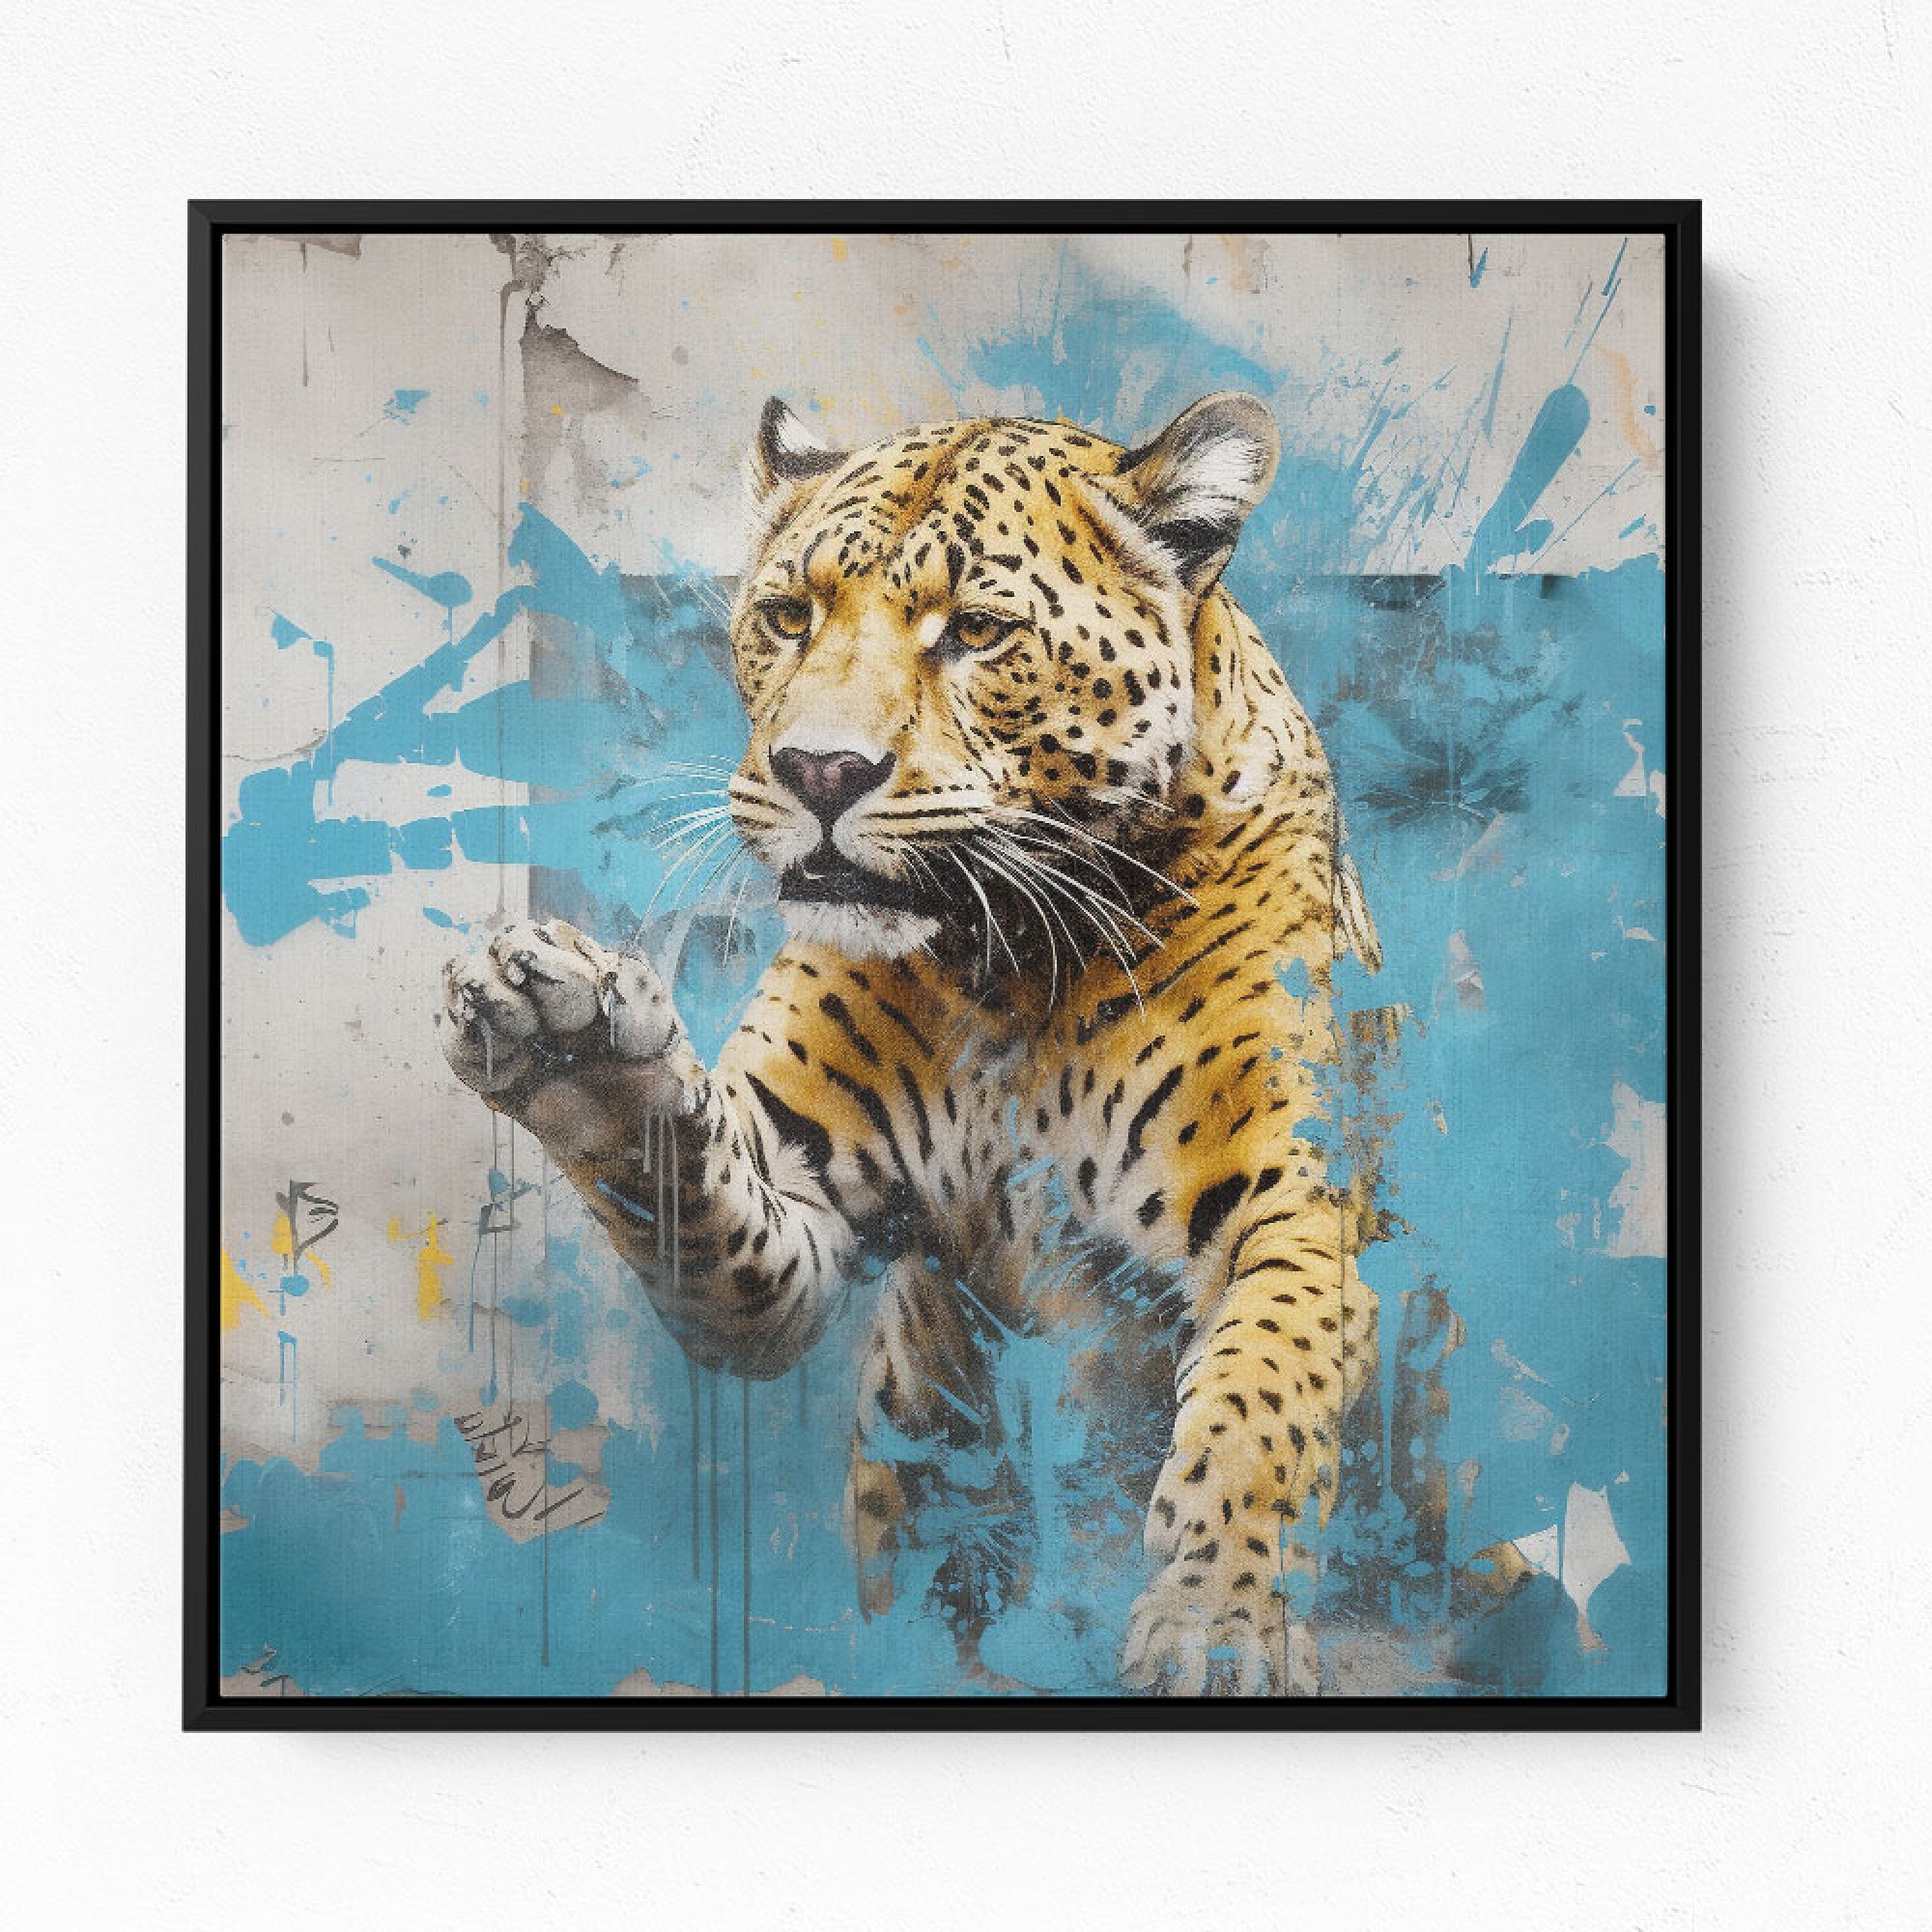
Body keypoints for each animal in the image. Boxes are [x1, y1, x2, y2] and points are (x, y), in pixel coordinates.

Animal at [437, 391, 1386, 1695]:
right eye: (790, 614)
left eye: (976, 632)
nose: (819, 769)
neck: (1011, 967)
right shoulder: (790, 1207)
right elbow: (686, 1185)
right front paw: (574, 1049)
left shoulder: (1287, 1206)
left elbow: (1259, 1403)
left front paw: (1216, 1618)